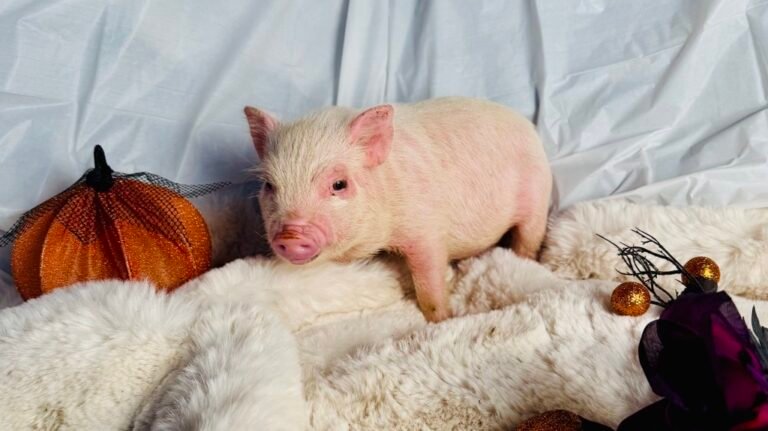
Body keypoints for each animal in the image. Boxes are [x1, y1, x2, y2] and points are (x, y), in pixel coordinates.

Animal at [244, 97, 552, 322]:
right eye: (269, 185)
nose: (290, 235)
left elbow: (429, 281)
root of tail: (529, 126)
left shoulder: (426, 229)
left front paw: (442, 320)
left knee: (528, 238)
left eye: (339, 184)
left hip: (538, 197)